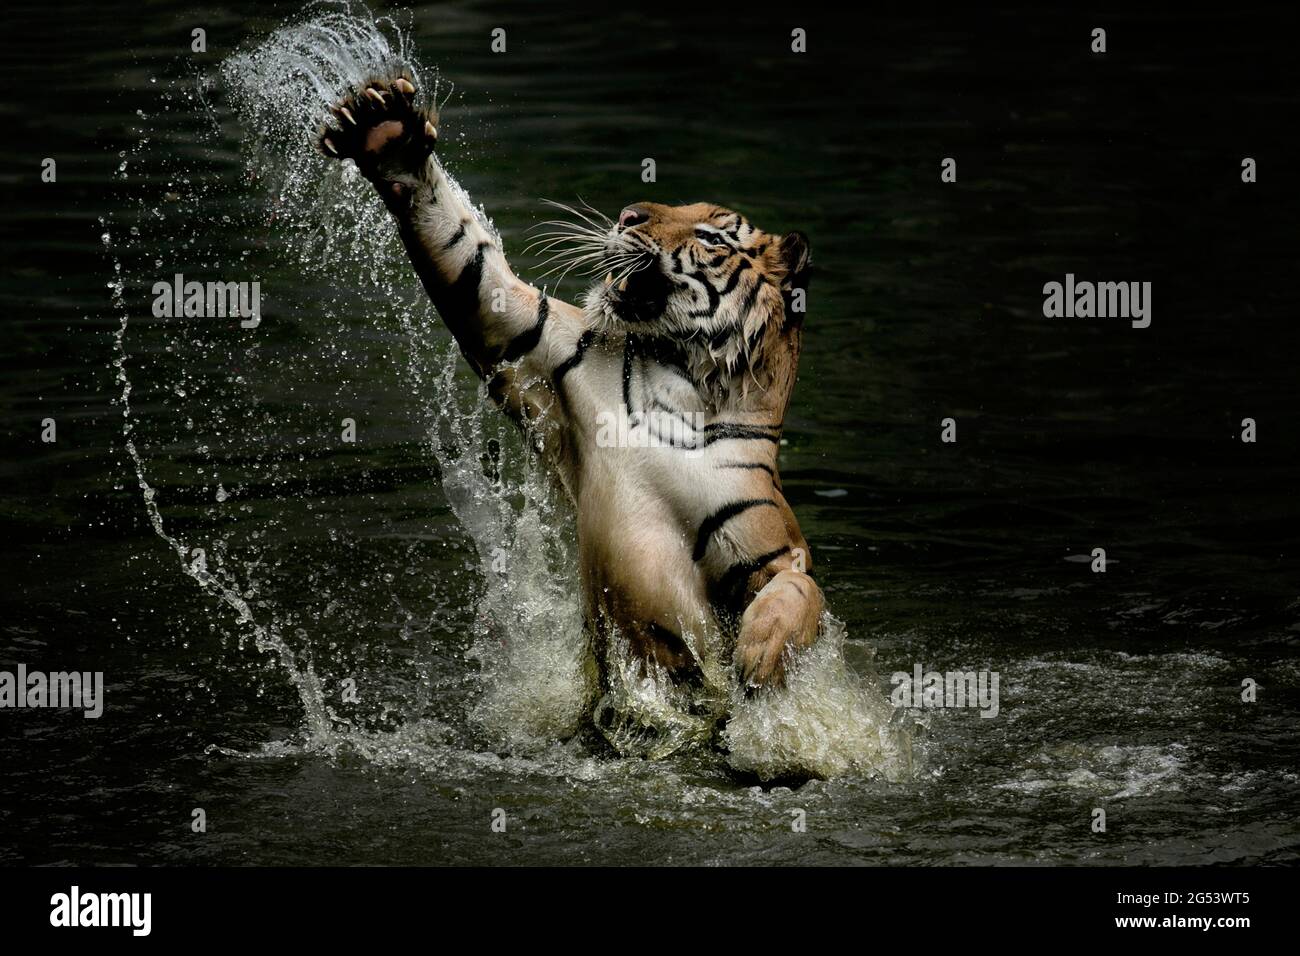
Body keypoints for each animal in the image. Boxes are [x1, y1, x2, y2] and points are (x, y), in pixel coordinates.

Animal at [316, 72, 822, 752]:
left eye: (710, 235)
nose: (629, 213)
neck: (680, 383)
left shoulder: (770, 547)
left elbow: (800, 590)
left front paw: (761, 655)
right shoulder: (534, 338)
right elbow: (471, 260)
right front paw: (387, 133)